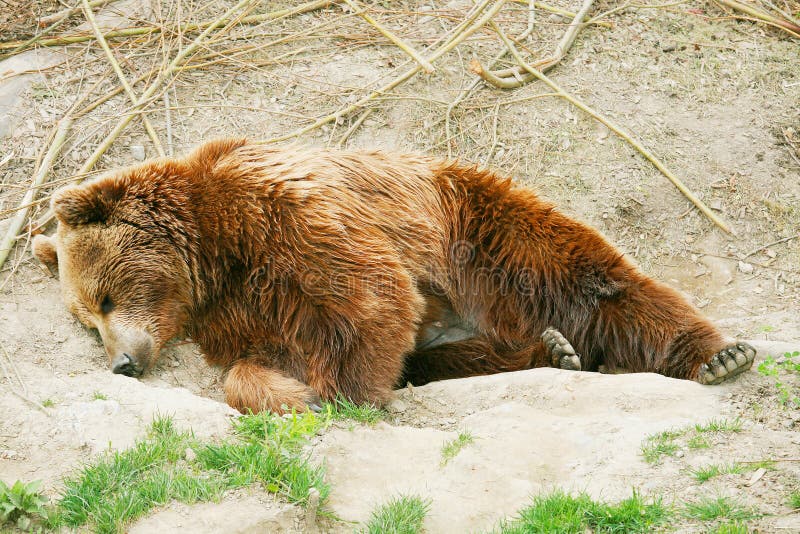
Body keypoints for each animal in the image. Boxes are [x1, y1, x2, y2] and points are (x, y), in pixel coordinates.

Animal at [32, 138, 755, 414]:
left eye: (103, 298)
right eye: (86, 320)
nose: (123, 363)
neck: (212, 256)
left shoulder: (281, 217)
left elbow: (365, 291)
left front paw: (340, 394)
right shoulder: (239, 311)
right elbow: (255, 363)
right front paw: (291, 391)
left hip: (477, 234)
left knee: (591, 281)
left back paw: (719, 355)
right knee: (452, 355)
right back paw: (556, 352)